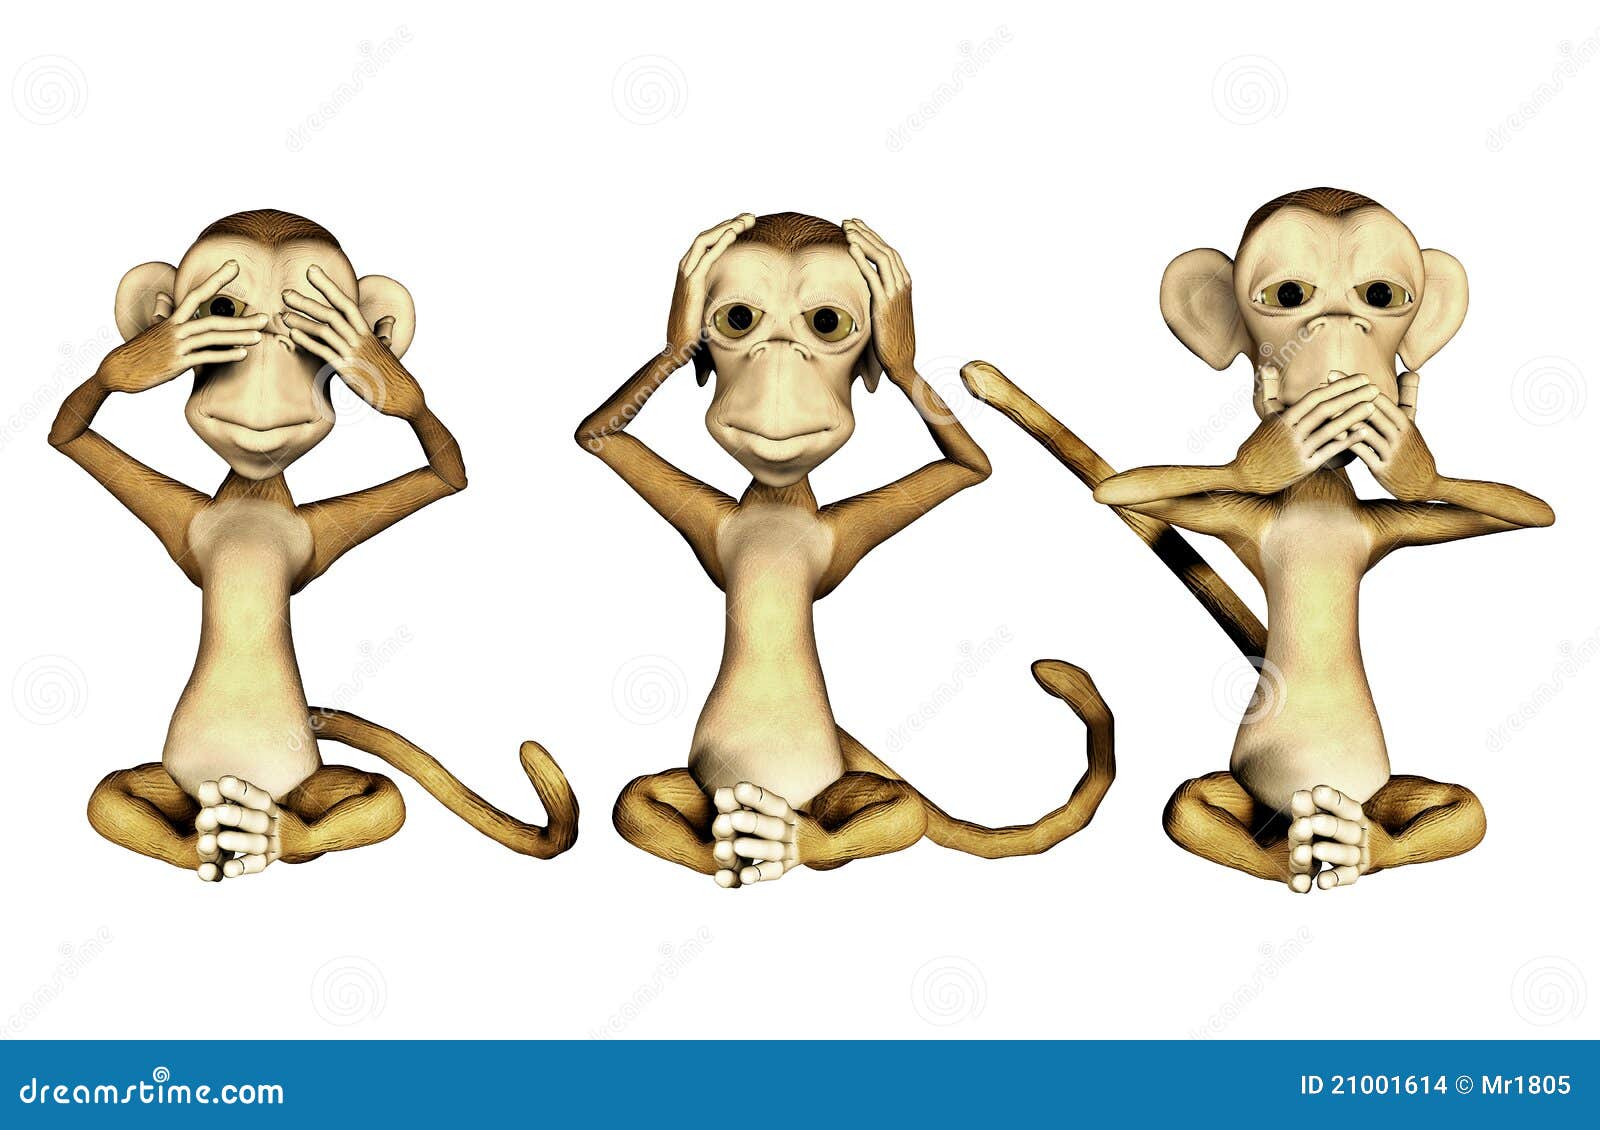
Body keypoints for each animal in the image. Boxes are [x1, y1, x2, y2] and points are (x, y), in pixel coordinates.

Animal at [50, 209, 577, 880]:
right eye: (221, 307)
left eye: (315, 327)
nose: (265, 384)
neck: (253, 496)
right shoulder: (186, 524)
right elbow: (68, 437)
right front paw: (142, 358)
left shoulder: (314, 536)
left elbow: (446, 476)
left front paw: (385, 375)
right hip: (174, 782)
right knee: (111, 798)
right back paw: (207, 842)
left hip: (309, 784)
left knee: (381, 800)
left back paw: (265, 833)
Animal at [578, 213, 1113, 888]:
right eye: (737, 319)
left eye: (827, 322)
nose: (779, 360)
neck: (777, 504)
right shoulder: (714, 524)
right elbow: (596, 434)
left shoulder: (839, 534)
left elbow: (972, 466)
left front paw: (900, 336)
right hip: (703, 791)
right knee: (636, 800)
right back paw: (731, 848)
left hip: (835, 793)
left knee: (901, 812)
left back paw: (788, 842)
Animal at [974, 188, 1553, 892]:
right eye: (1288, 296)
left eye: (1382, 295)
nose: (1340, 328)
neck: (1322, 496)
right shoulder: (1245, 519)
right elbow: (1120, 488)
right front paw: (1276, 449)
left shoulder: (1386, 526)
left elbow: (1530, 510)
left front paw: (1409, 461)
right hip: (1252, 797)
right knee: (1188, 807)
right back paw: (1296, 857)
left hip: (1385, 794)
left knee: (1463, 810)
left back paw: (1359, 846)